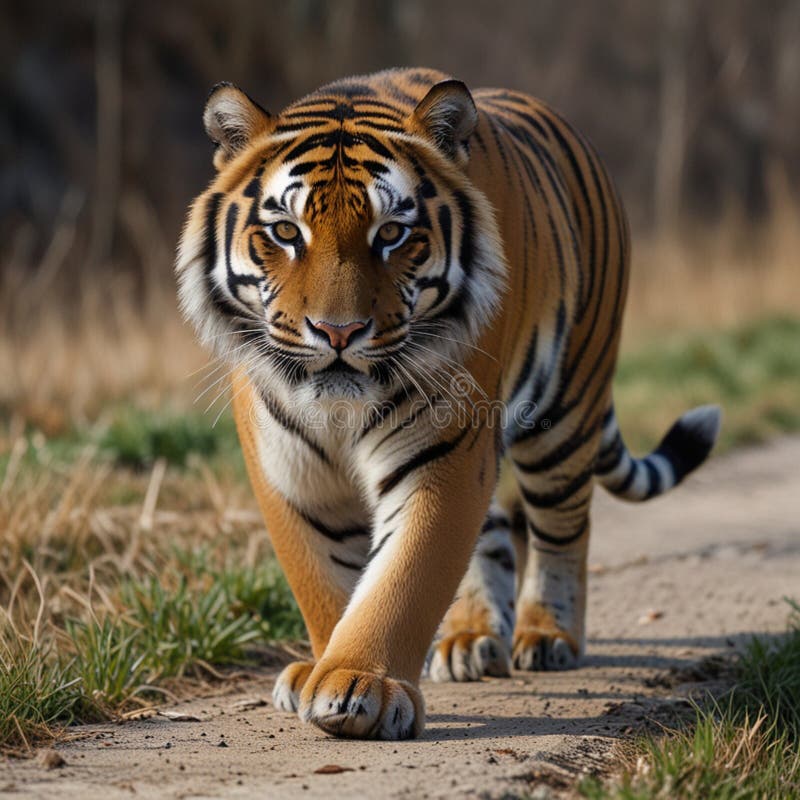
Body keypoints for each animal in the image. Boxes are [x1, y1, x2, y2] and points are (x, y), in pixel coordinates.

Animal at [176, 67, 720, 740]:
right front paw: (321, 669)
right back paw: (469, 639)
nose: (337, 332)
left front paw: (359, 684)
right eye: (285, 232)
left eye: (391, 233)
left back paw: (548, 636)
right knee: (491, 538)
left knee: (564, 529)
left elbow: (406, 575)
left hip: (565, 415)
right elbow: (324, 579)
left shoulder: (443, 454)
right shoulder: (290, 472)